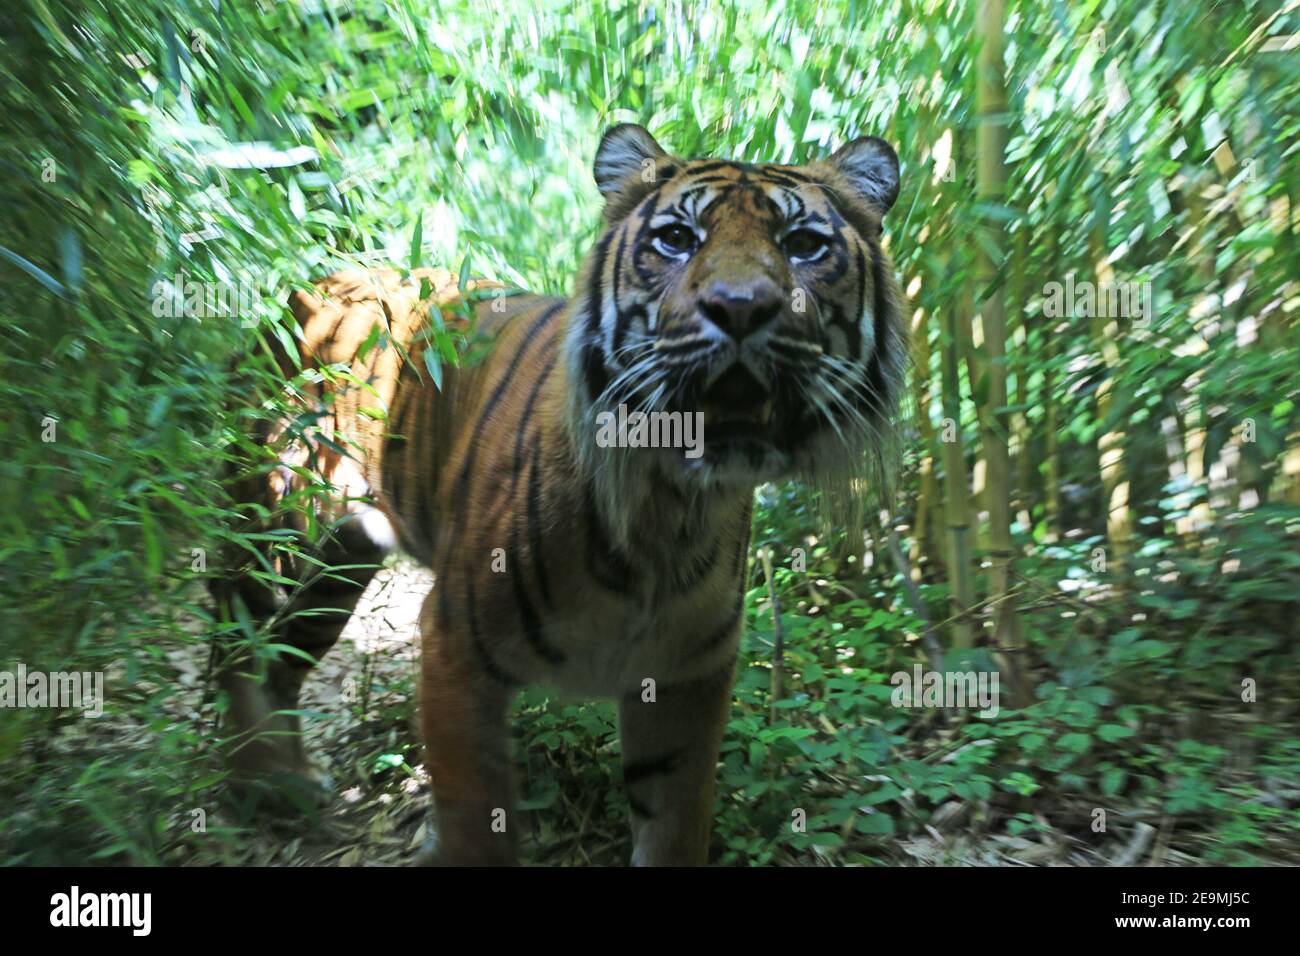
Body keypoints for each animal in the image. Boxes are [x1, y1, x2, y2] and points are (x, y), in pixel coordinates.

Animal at [211, 123, 906, 866]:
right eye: (676, 239)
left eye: (804, 245)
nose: (741, 307)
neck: (671, 511)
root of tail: (302, 292)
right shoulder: (455, 644)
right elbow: (475, 825)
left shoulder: (689, 676)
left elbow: (674, 825)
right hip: (271, 518)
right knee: (236, 641)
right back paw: (258, 787)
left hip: (341, 563)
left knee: (282, 658)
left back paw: (289, 786)